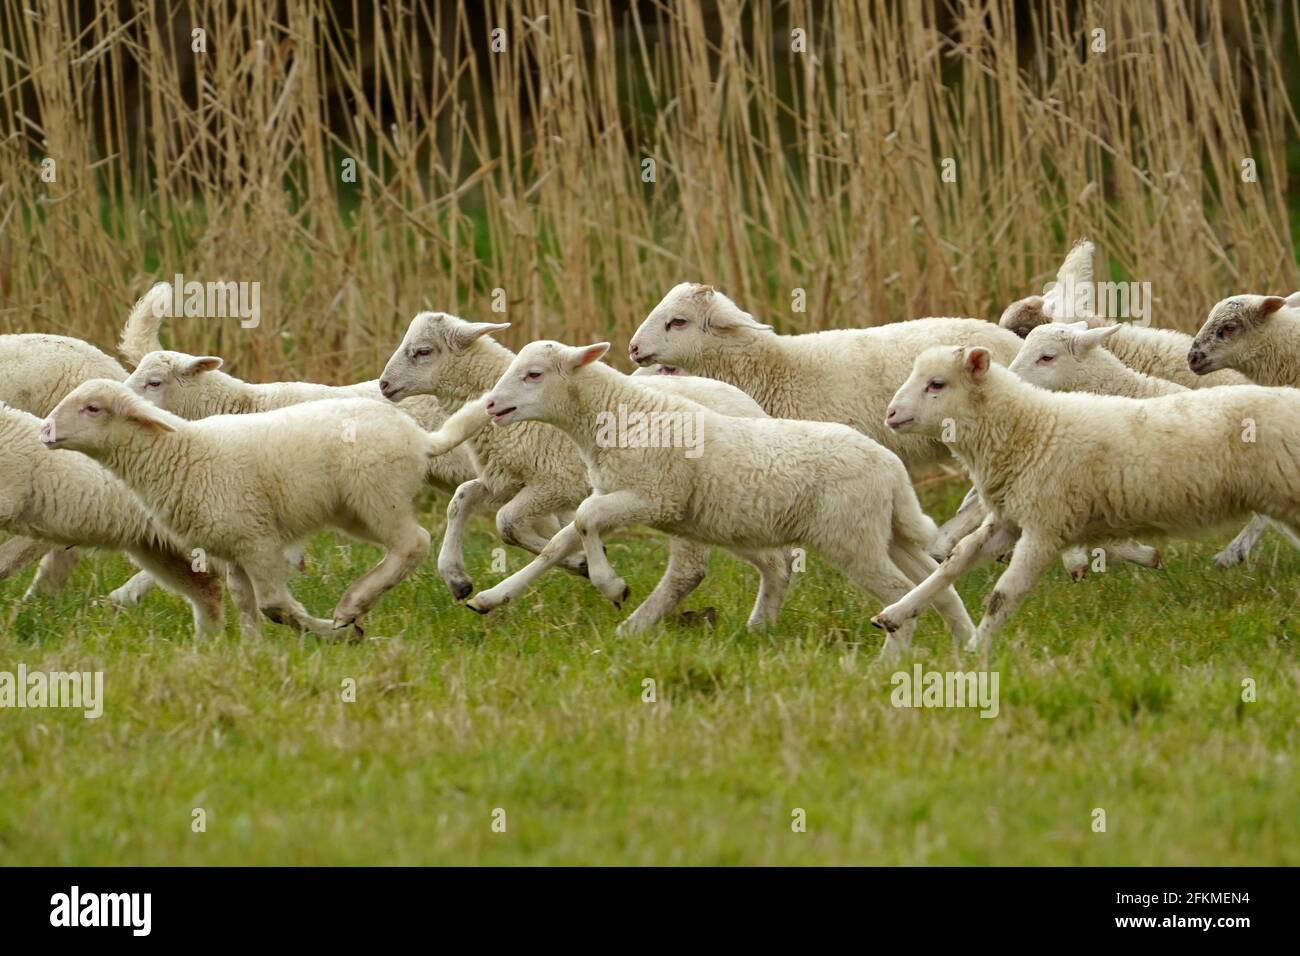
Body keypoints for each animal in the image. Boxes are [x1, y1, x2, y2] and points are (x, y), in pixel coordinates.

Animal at [41, 382, 438, 638]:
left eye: (93, 408)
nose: (45, 431)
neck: (179, 453)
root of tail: (420, 436)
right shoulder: (233, 545)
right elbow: (245, 603)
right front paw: (253, 652)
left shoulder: (258, 540)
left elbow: (274, 605)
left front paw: (335, 633)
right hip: (354, 512)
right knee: (407, 543)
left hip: (377, 495)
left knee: (414, 543)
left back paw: (353, 604)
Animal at [379, 312, 790, 635]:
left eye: (423, 351)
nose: (383, 385)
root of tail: (752, 408)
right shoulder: (507, 478)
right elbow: (461, 498)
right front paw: (457, 578)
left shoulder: (554, 481)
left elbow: (507, 523)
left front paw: (580, 563)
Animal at [461, 340, 976, 658]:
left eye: (533, 374)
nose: (490, 405)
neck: (618, 415)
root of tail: (891, 470)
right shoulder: (620, 492)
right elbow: (558, 543)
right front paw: (490, 597)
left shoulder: (655, 496)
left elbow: (585, 518)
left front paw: (612, 586)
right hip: (886, 531)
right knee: (936, 581)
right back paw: (964, 643)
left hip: (850, 538)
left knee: (897, 589)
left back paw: (889, 657)